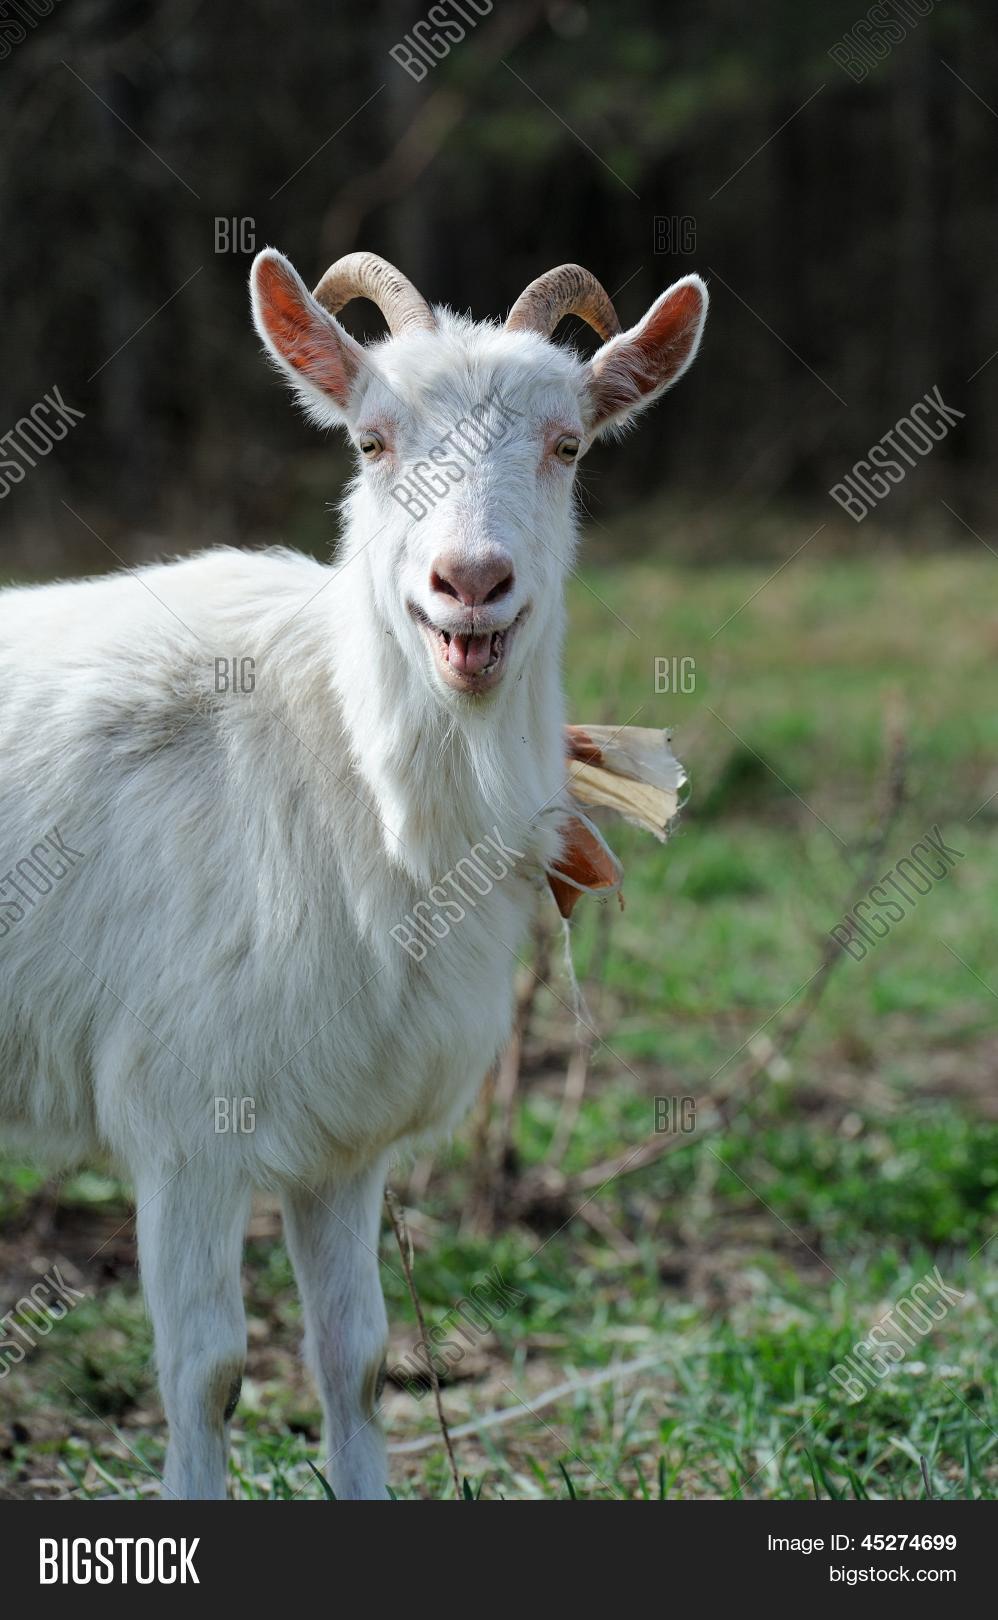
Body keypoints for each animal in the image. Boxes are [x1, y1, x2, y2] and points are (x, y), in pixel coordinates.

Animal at [0, 252, 707, 1498]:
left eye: (567, 444)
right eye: (371, 441)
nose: (469, 581)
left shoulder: (343, 1135)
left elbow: (360, 1359)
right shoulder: (182, 1121)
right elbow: (207, 1373)